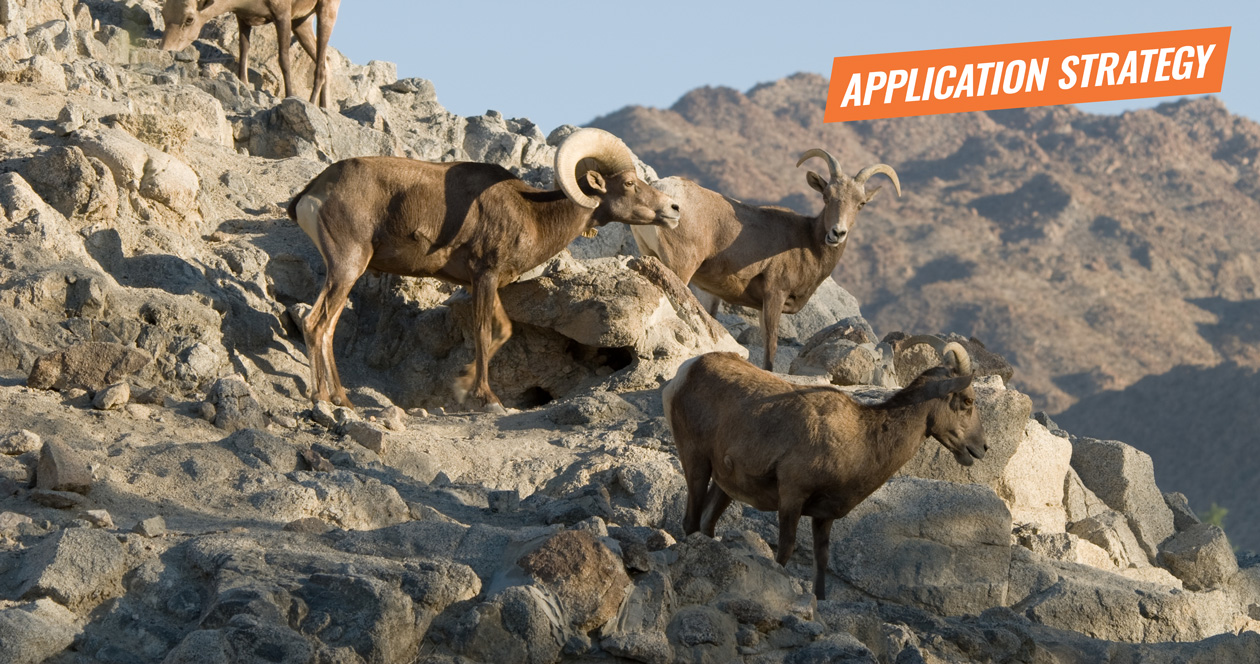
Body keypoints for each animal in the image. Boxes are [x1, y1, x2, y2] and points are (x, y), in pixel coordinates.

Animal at [160, 0, 340, 108]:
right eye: (163, 13)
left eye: (189, 19)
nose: (166, 48)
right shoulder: (243, 17)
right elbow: (244, 49)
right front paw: (244, 82)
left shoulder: (282, 13)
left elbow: (284, 59)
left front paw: (290, 96)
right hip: (301, 21)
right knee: (326, 61)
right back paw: (324, 106)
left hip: (326, 9)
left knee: (320, 65)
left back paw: (312, 103)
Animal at [287, 128, 681, 411]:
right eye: (628, 183)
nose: (674, 209)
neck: (532, 213)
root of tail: (313, 192)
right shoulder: (485, 276)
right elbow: (482, 332)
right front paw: (487, 400)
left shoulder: (484, 283)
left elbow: (503, 331)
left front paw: (463, 385)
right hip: (347, 266)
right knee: (316, 324)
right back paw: (325, 399)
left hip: (346, 272)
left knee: (327, 327)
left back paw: (339, 398)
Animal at [632, 149, 899, 370]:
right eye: (826, 196)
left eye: (861, 203)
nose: (837, 233)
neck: (807, 242)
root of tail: (662, 191)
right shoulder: (774, 295)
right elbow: (770, 348)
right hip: (680, 267)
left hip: (651, 255)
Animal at [662, 337, 986, 599]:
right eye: (967, 400)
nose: (981, 448)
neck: (862, 438)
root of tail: (687, 370)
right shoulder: (792, 496)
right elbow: (785, 550)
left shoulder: (824, 516)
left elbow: (822, 561)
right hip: (696, 461)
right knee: (691, 522)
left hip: (725, 485)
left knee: (706, 524)